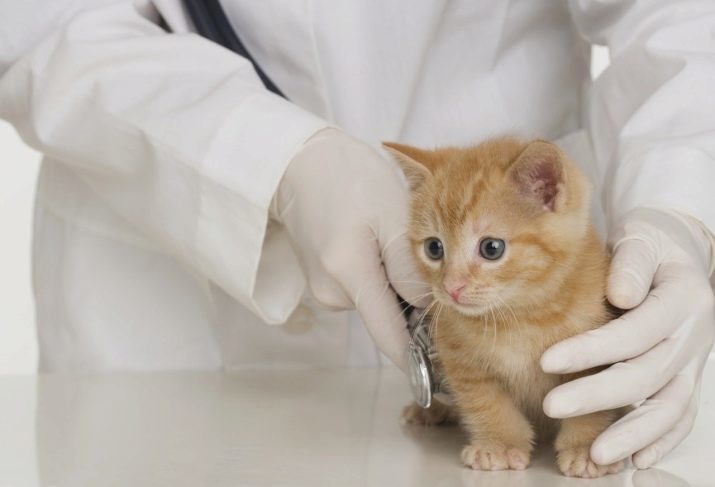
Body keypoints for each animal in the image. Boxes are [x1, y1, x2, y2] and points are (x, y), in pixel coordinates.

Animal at [386, 135, 628, 478]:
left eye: (491, 248)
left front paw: (585, 448)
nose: (451, 287)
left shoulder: (592, 350)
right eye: (434, 248)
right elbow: (486, 402)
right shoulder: (460, 358)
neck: (519, 316)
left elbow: (592, 399)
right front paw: (498, 445)